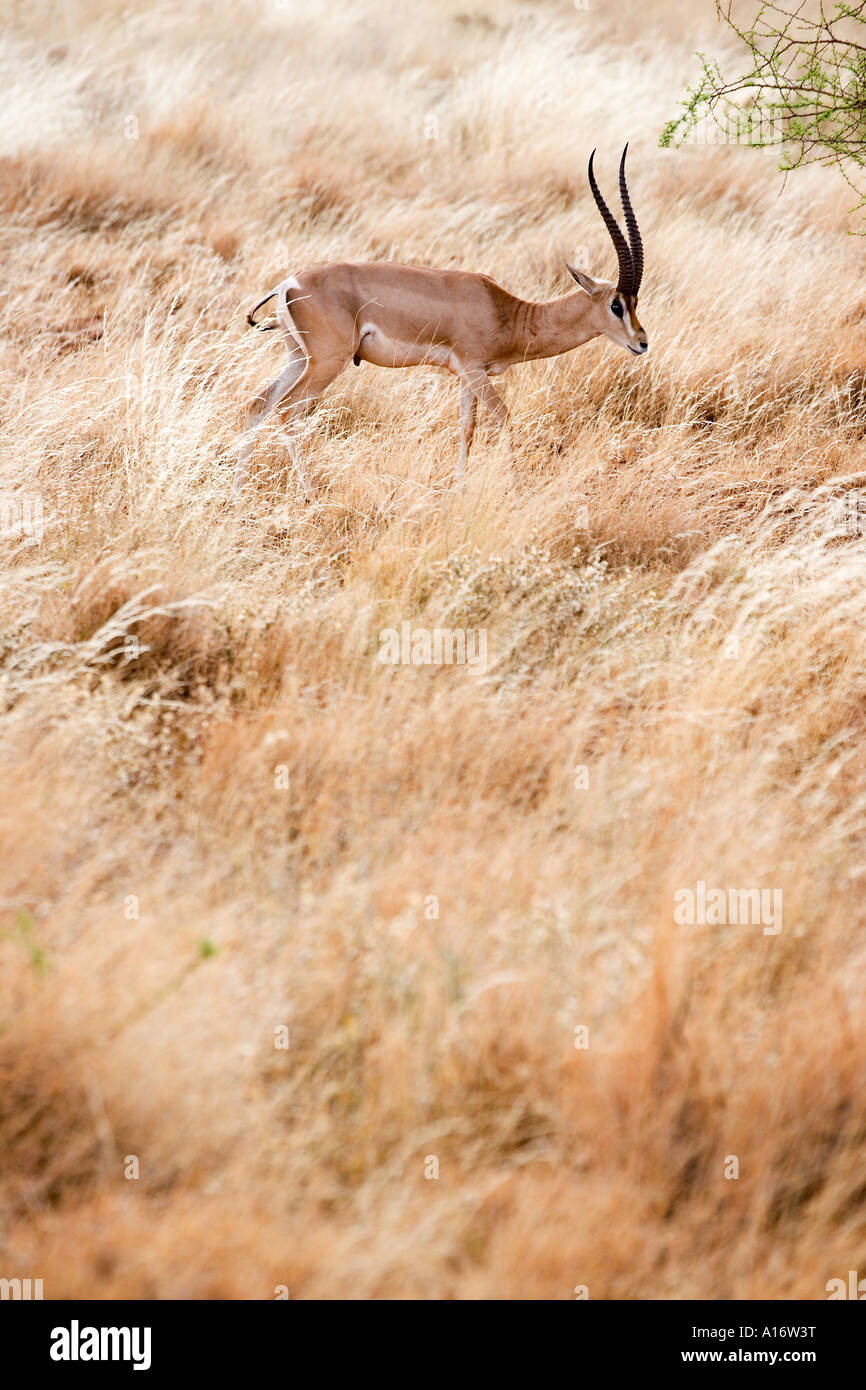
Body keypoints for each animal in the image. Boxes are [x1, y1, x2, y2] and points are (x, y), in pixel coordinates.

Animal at [233, 147, 646, 501]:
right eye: (615, 305)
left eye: (635, 302)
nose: (642, 342)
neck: (507, 312)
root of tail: (288, 283)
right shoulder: (475, 370)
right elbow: (503, 418)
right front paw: (514, 490)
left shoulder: (465, 376)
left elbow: (467, 429)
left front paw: (458, 489)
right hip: (326, 364)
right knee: (285, 412)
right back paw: (310, 495)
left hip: (299, 359)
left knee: (258, 405)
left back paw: (236, 496)